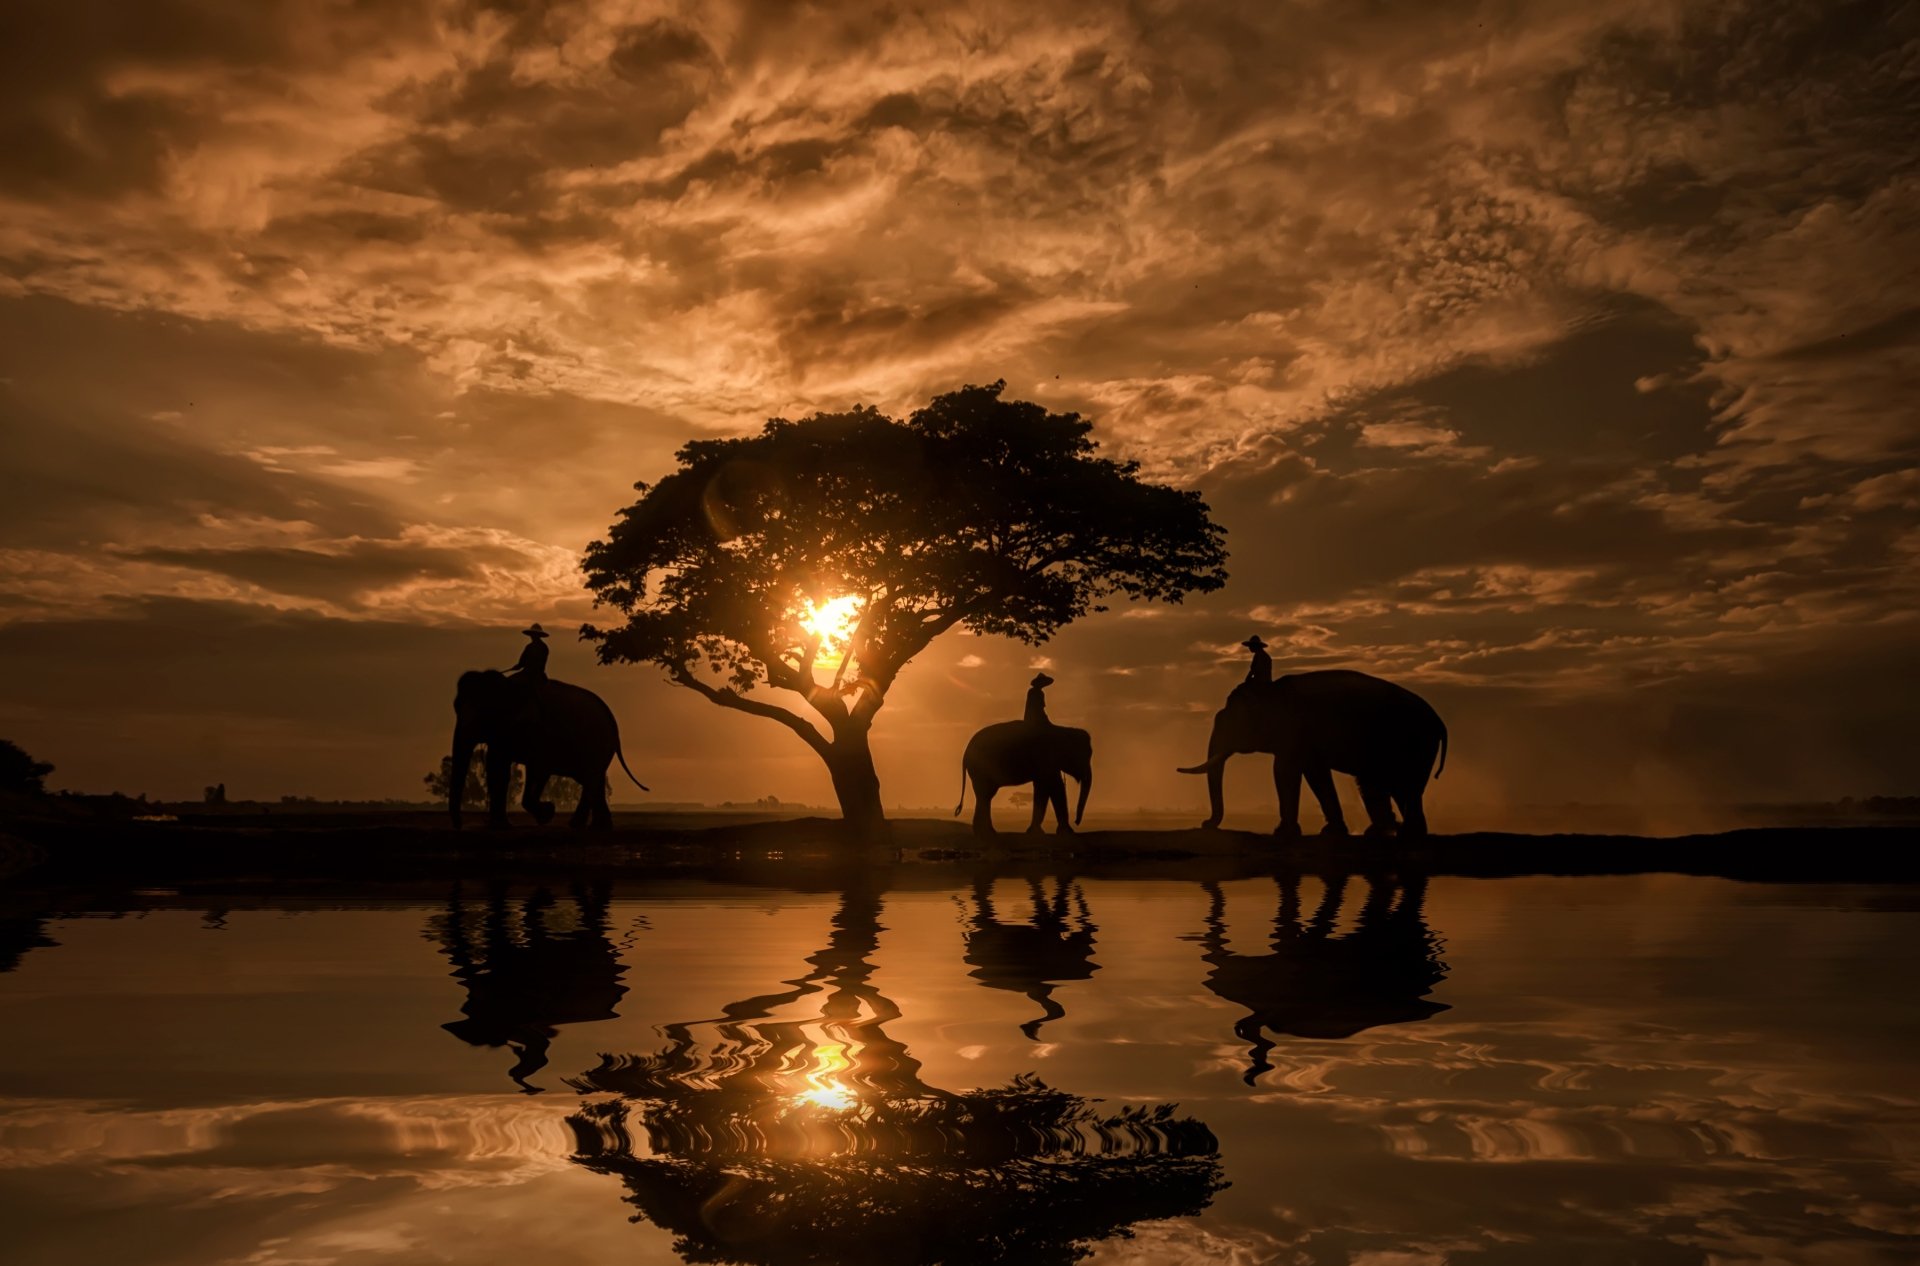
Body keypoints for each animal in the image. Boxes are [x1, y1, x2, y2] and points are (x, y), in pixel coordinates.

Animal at [448, 670, 648, 830]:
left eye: (486, 712)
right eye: (455, 707)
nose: (459, 825)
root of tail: (612, 720)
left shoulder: (537, 731)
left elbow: (536, 768)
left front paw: (547, 812)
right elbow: (498, 767)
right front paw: (502, 826)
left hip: (596, 743)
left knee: (591, 778)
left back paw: (595, 827)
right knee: (591, 779)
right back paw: (586, 825)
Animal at [954, 720, 1092, 836]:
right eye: (1084, 756)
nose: (1076, 821)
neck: (1062, 729)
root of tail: (965, 754)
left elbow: (1046, 787)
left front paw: (1037, 832)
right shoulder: (1045, 758)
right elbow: (1054, 786)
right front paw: (1065, 832)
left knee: (985, 796)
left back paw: (987, 832)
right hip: (980, 770)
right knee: (985, 795)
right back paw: (986, 832)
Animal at [1178, 670, 1446, 838]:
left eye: (1231, 724)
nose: (1206, 824)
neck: (1270, 691)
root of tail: (1440, 722)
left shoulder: (1294, 730)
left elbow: (1284, 770)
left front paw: (1282, 833)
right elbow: (1315, 774)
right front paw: (1331, 833)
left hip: (1417, 744)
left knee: (1404, 786)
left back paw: (1404, 832)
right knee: (1386, 785)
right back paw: (1393, 831)